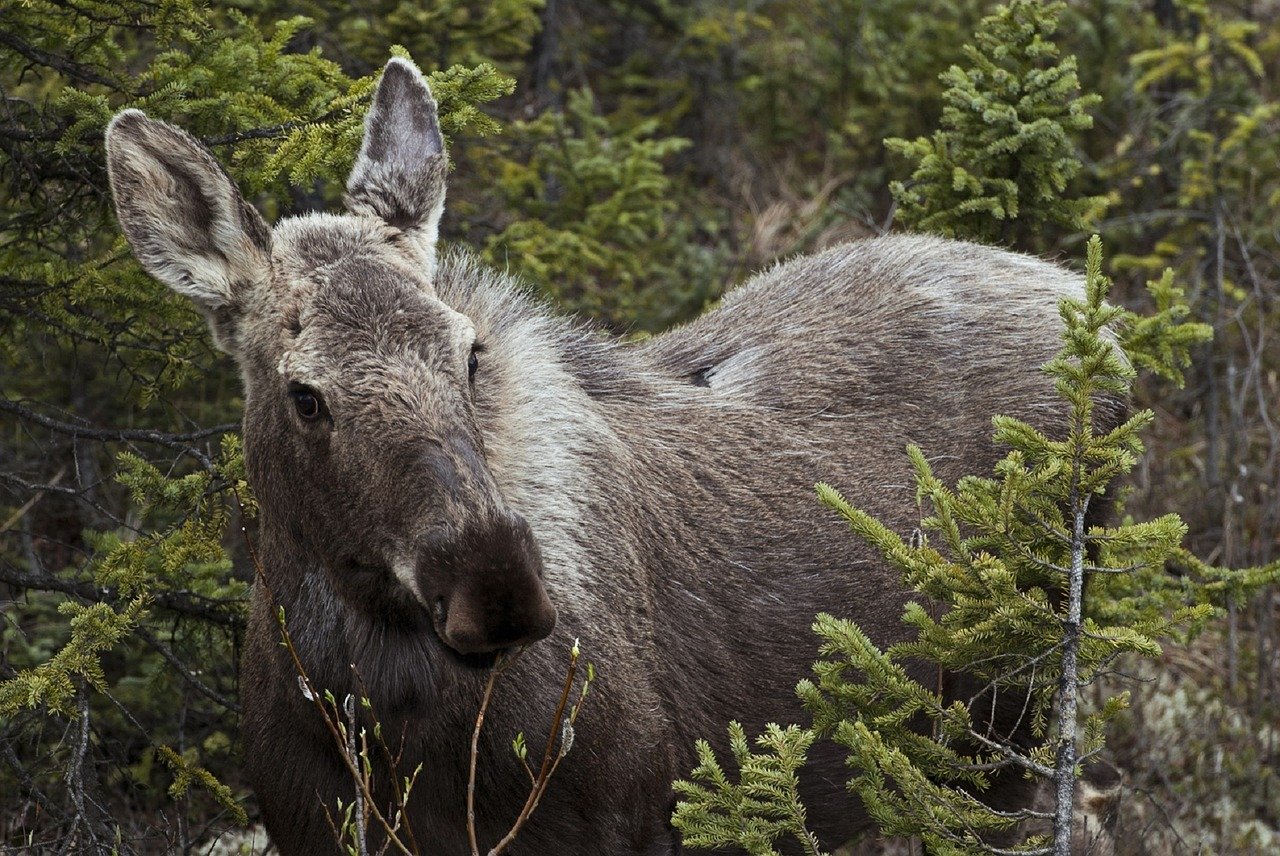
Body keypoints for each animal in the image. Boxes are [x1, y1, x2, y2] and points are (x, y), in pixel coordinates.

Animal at [104, 57, 1122, 856]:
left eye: (468, 352)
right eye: (304, 394)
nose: (498, 584)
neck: (374, 703)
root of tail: (1096, 317)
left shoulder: (620, 821)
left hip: (1005, 726)